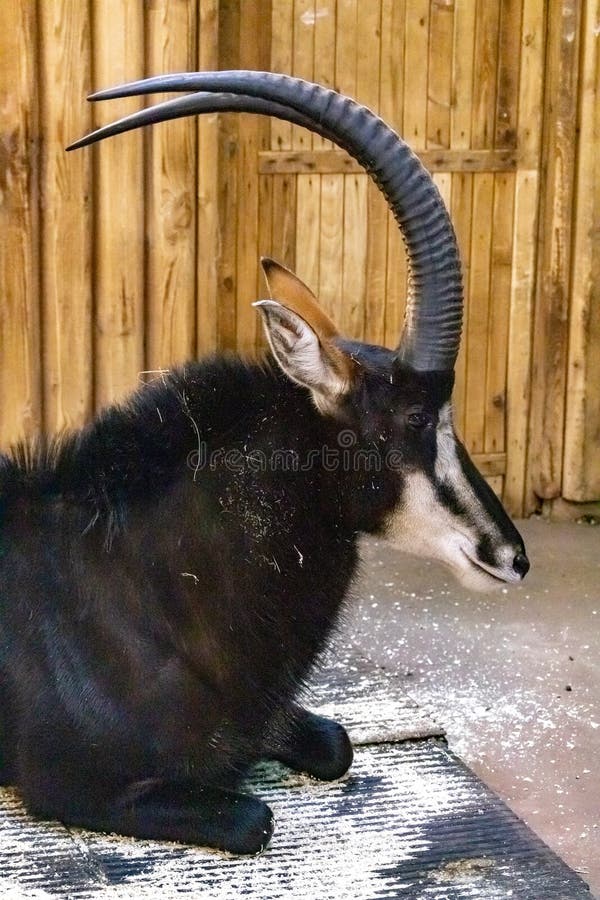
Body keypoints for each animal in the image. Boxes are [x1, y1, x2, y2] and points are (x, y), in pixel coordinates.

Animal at [0, 72, 529, 855]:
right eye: (413, 419)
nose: (511, 556)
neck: (142, 594)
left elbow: (337, 744)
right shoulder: (67, 786)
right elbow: (253, 818)